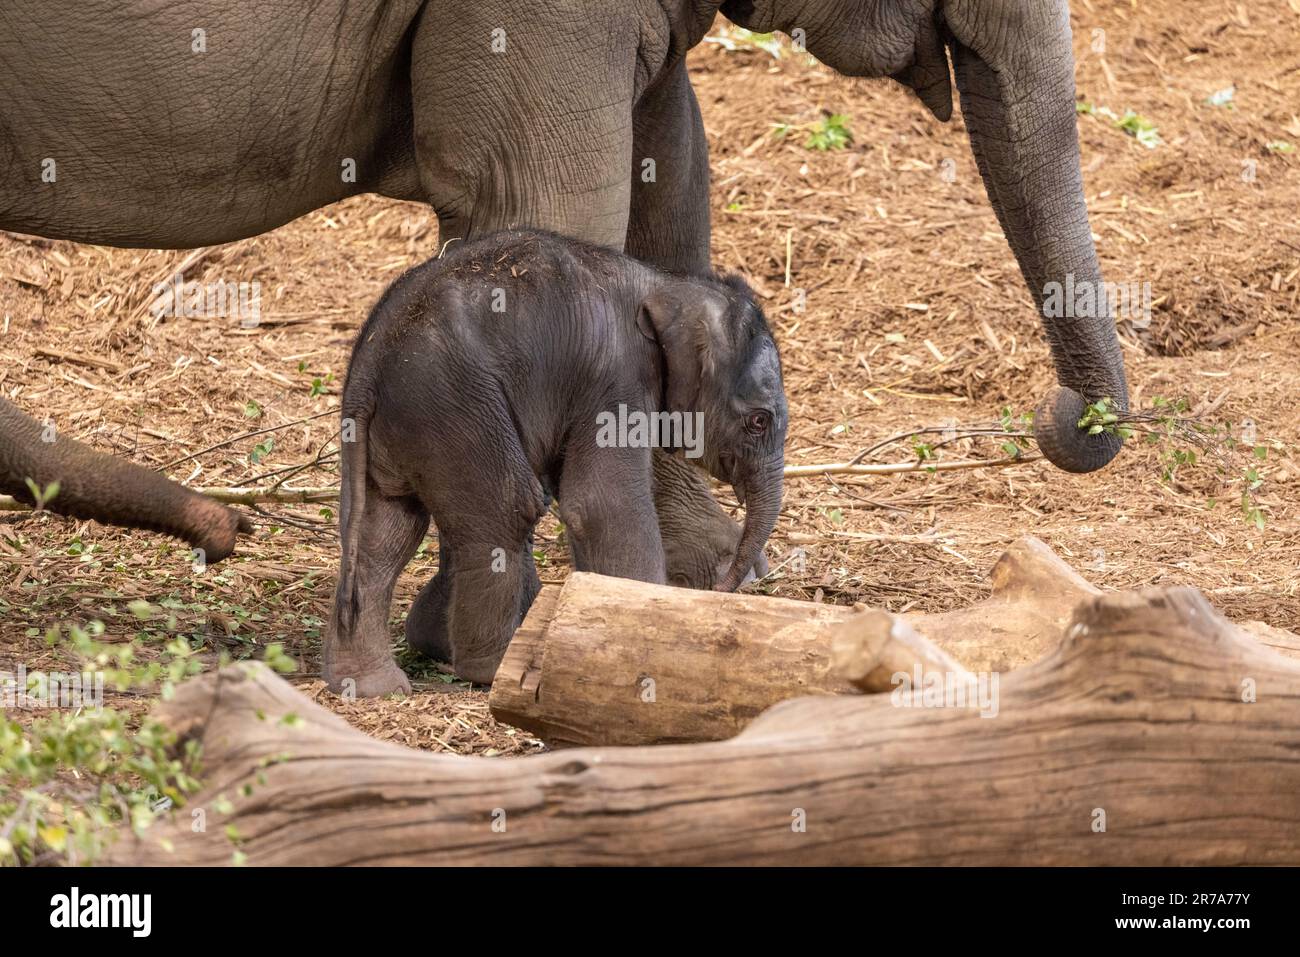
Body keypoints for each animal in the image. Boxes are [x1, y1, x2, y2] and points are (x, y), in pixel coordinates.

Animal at [326, 229, 788, 692]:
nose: (725, 586)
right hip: (452, 407)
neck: (665, 283)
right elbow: (600, 504)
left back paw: (369, 686)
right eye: (759, 421)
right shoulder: (616, 379)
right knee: (506, 512)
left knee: (385, 534)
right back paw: (492, 668)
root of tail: (368, 363)